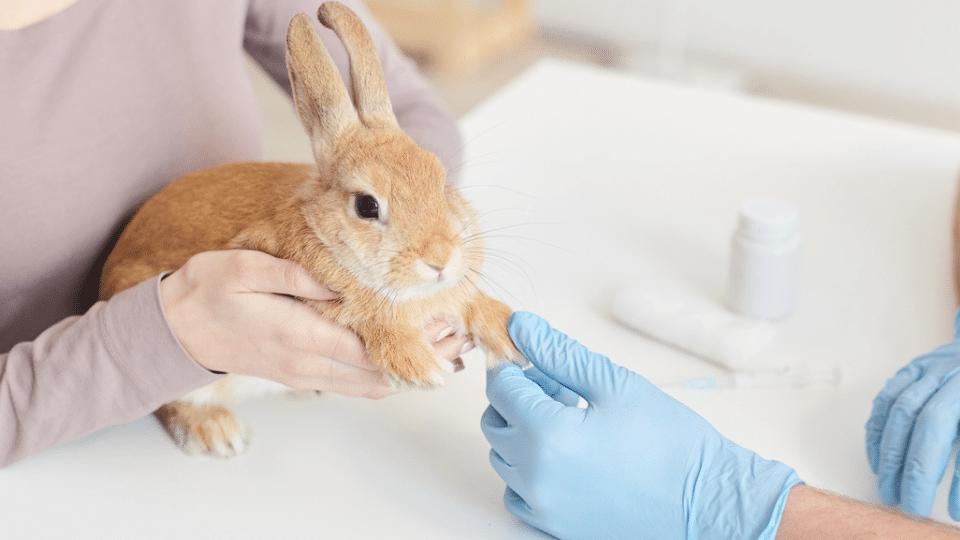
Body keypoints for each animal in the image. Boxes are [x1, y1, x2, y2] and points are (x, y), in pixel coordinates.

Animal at [99, 2, 522, 458]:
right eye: (367, 205)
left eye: (440, 179)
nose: (441, 258)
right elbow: (367, 316)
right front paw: (417, 365)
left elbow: (470, 303)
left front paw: (508, 336)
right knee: (168, 402)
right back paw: (217, 433)